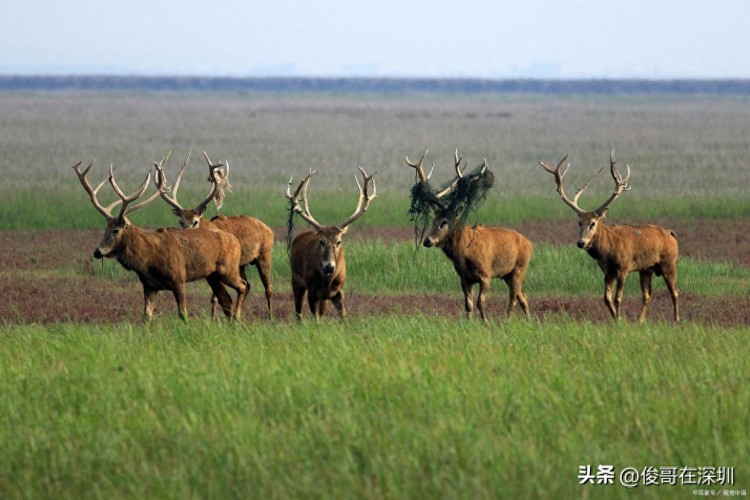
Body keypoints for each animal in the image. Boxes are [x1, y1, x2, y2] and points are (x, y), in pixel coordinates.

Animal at [71, 162, 247, 322]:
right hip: (213, 275)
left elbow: (183, 313)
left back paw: (238, 318)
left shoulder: (178, 278)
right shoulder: (149, 285)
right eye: (105, 229)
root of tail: (235, 241)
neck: (148, 259)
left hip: (228, 269)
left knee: (243, 286)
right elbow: (146, 315)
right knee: (227, 301)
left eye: (116, 230)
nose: (97, 252)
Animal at [154, 150, 274, 318]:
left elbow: (218, 298)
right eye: (181, 222)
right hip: (241, 265)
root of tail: (268, 229)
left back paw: (270, 317)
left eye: (195, 221)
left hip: (264, 255)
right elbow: (217, 297)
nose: (186, 238)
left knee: (267, 288)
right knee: (248, 285)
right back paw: (240, 314)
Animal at [284, 168, 376, 320]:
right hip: (296, 279)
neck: (327, 282)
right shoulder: (312, 291)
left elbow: (342, 316)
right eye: (321, 242)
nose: (329, 267)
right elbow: (315, 319)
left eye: (339, 241)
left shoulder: (338, 292)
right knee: (298, 312)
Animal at [406, 149, 536, 320]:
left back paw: (507, 321)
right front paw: (469, 322)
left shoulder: (486, 274)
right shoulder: (465, 278)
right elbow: (468, 305)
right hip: (508, 274)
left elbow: (480, 302)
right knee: (523, 296)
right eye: (433, 220)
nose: (427, 240)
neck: (463, 253)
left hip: (520, 268)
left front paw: (486, 322)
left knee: (513, 299)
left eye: (444, 222)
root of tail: (530, 244)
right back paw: (529, 320)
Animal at [540, 150, 680, 322]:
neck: (608, 250)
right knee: (647, 295)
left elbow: (617, 298)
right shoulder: (608, 271)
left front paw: (620, 319)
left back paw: (676, 319)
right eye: (579, 222)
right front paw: (616, 318)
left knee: (675, 292)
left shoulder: (624, 267)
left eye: (593, 223)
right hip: (646, 269)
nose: (581, 242)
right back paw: (640, 320)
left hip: (669, 263)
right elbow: (606, 298)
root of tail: (671, 233)